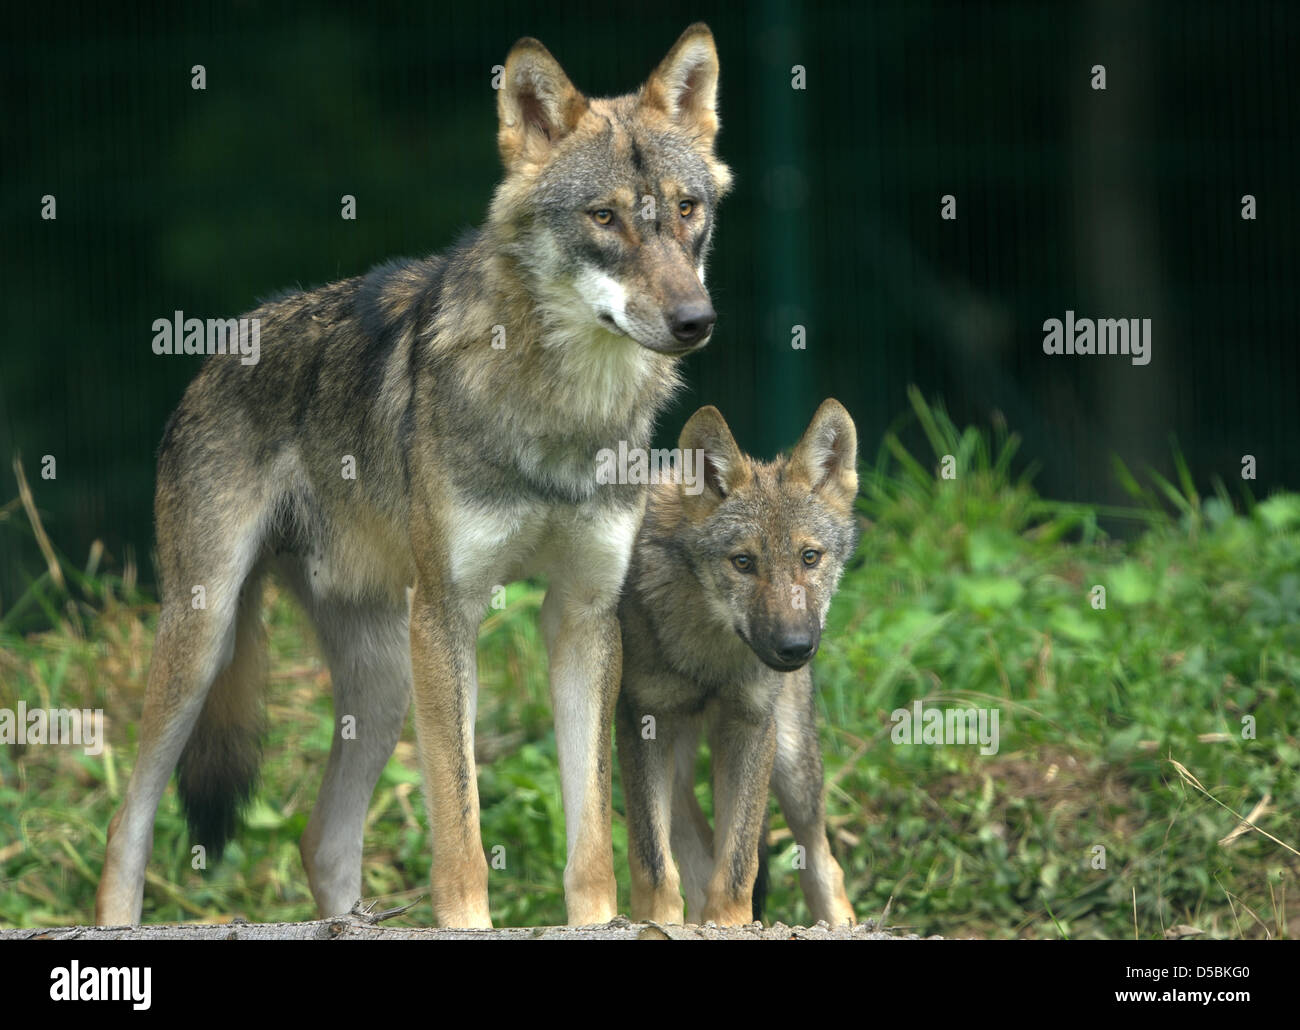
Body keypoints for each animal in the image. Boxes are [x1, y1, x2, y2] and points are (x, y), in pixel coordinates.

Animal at [96, 23, 732, 929]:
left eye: (686, 209)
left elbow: (590, 835)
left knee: (323, 841)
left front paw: (600, 919)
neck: (561, 410)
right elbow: (460, 828)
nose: (695, 321)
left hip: (385, 677)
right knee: (129, 823)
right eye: (604, 217)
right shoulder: (449, 616)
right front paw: (468, 920)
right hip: (208, 636)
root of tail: (222, 342)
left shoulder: (582, 617)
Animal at [616, 400, 859, 926]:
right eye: (743, 562)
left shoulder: (751, 725)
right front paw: (660, 921)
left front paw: (728, 922)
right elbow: (653, 859)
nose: (795, 648)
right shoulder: (642, 724)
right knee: (691, 846)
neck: (709, 657)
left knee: (823, 861)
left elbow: (738, 860)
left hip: (793, 762)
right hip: (679, 759)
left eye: (810, 557)